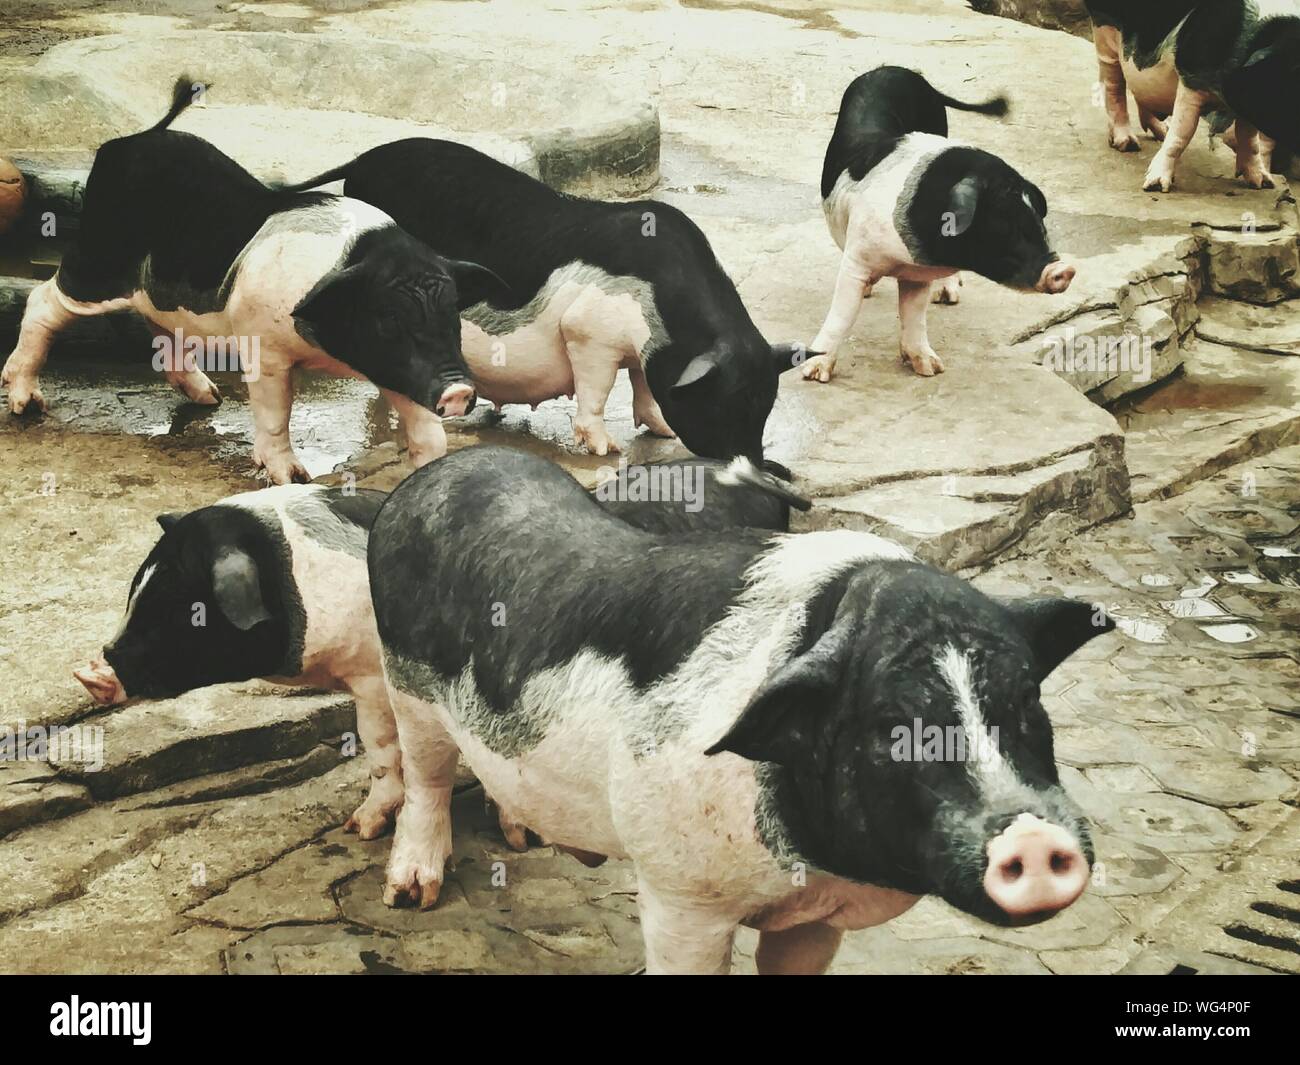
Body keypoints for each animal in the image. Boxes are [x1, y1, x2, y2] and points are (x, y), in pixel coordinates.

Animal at [1, 77, 506, 484]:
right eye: (389, 319)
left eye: (451, 315)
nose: (460, 391)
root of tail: (133, 139)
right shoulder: (265, 346)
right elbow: (274, 412)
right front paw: (293, 477)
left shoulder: (400, 366)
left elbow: (427, 431)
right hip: (95, 261)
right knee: (44, 301)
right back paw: (26, 404)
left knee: (165, 330)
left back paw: (208, 399)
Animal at [281, 138, 806, 463]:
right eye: (726, 405)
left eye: (763, 406)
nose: (754, 465)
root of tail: (363, 159)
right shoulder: (587, 333)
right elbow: (596, 390)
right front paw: (608, 451)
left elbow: (643, 384)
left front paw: (663, 431)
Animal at [368, 446, 1111, 974]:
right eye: (891, 727)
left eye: (1026, 699)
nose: (1032, 835)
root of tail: (424, 479)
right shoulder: (681, 892)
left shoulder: (816, 917)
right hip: (406, 682)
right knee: (427, 772)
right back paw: (409, 894)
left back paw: (522, 838)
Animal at [800, 66, 1076, 384]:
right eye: (1004, 222)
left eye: (1038, 218)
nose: (1063, 269)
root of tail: (903, 72)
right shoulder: (858, 257)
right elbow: (842, 313)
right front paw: (813, 373)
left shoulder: (918, 273)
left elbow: (914, 317)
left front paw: (931, 369)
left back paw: (946, 297)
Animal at [1088, 1, 1300, 192]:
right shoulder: (1190, 79)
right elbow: (1183, 131)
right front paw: (1155, 186)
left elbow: (1250, 139)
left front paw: (1264, 184)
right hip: (1104, 32)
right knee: (1114, 85)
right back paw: (1128, 144)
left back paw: (1161, 131)